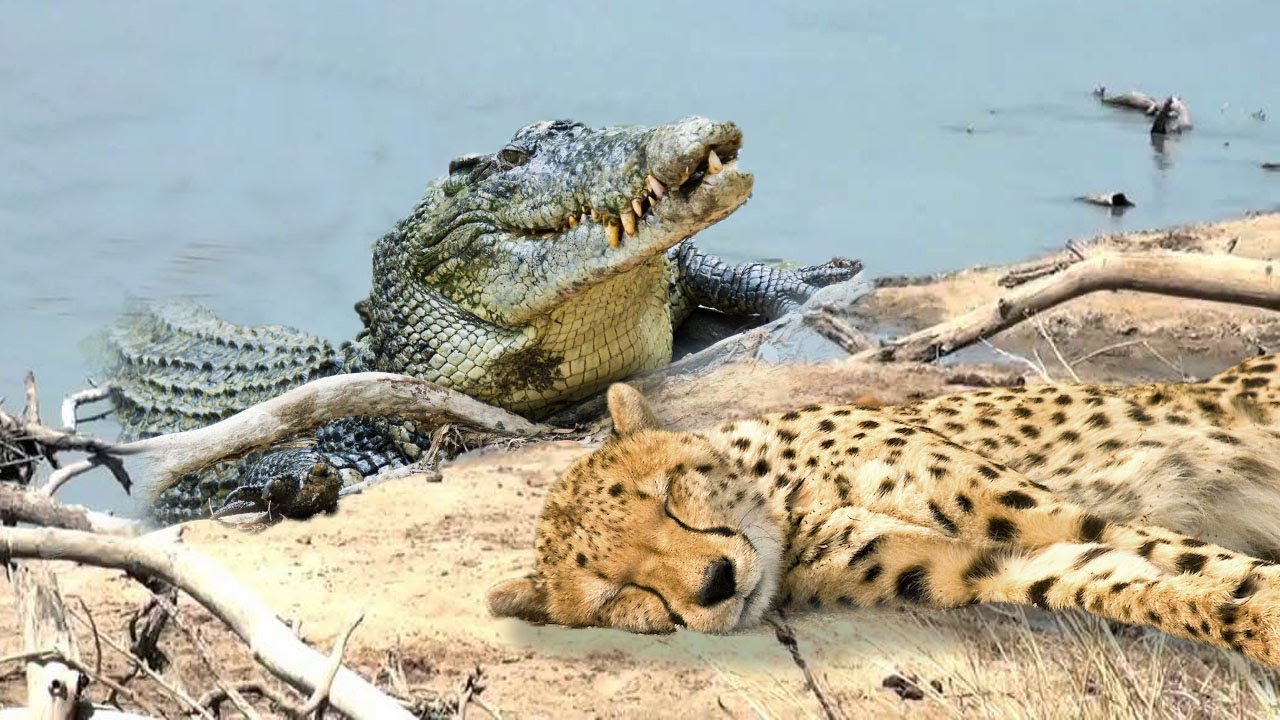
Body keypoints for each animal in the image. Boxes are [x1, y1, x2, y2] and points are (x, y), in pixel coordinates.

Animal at [488, 352, 1280, 666]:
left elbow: (1202, 563)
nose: (715, 583)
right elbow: (1150, 590)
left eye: (669, 500)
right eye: (621, 595)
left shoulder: (1038, 511)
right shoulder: (994, 561)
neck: (793, 513)